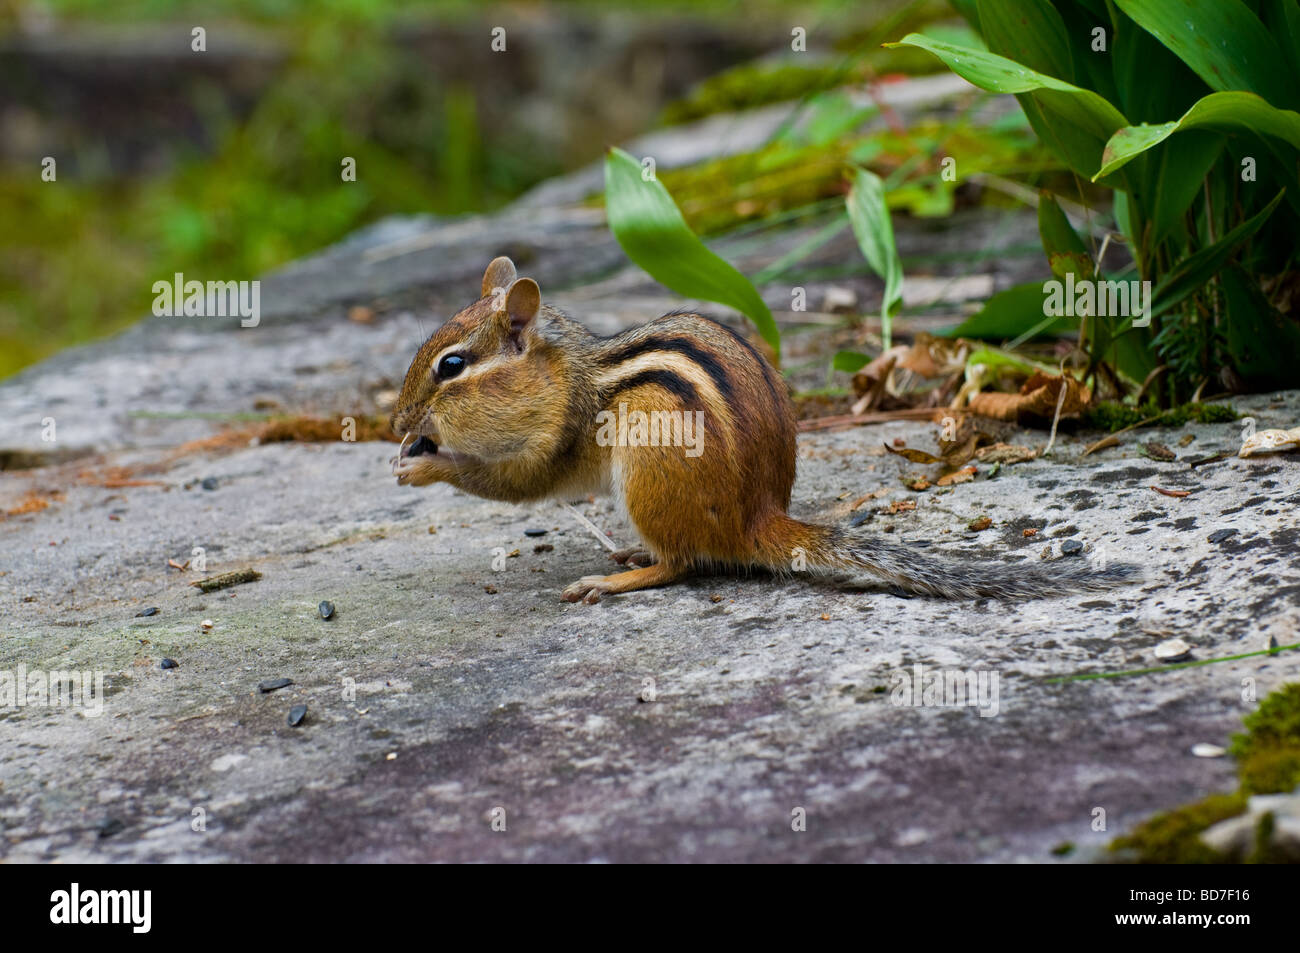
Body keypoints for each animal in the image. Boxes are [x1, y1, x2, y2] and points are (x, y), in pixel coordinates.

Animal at [390, 256, 1142, 603]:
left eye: (451, 365)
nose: (396, 421)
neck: (570, 368)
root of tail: (758, 517)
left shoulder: (561, 433)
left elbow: (521, 481)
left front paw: (425, 464)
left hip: (650, 472)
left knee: (682, 564)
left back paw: (615, 578)